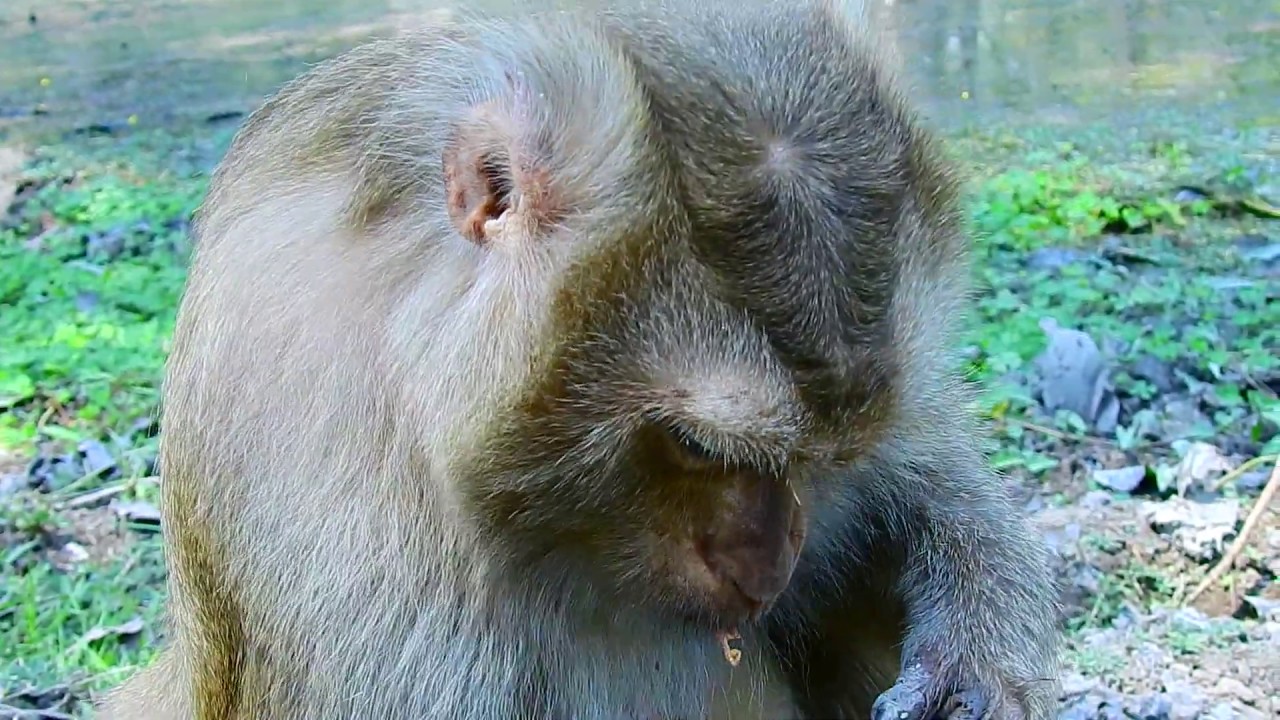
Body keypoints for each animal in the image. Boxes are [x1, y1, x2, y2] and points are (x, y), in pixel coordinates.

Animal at [97, 0, 1063, 718]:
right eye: (700, 446)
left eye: (830, 459)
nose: (767, 565)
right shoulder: (327, 490)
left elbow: (923, 488)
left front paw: (972, 654)